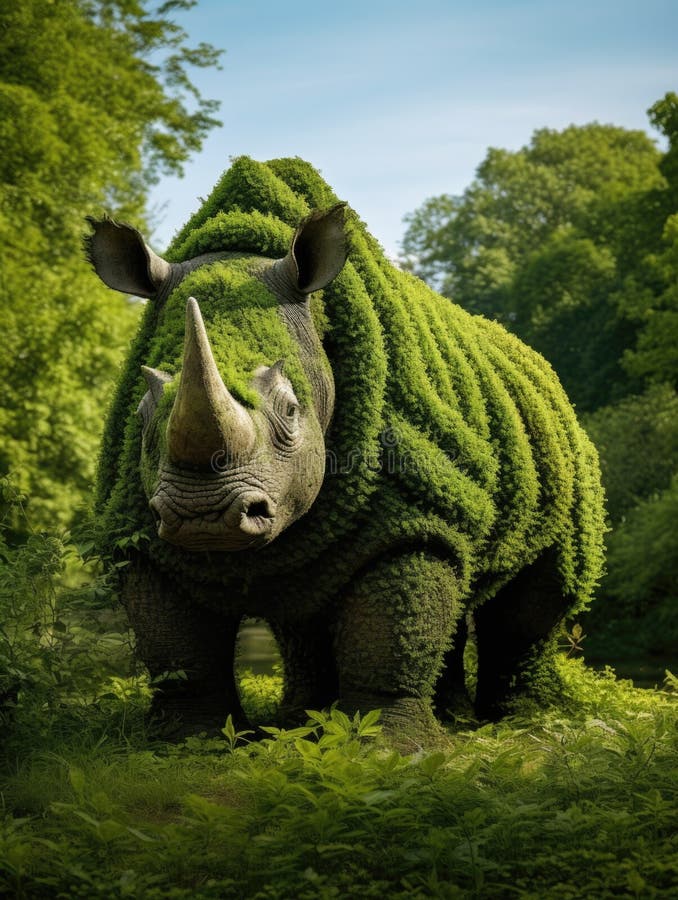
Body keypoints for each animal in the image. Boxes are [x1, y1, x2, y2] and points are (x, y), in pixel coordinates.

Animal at [86, 157, 605, 739]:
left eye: (292, 411)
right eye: (140, 416)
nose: (205, 518)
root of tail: (541, 368)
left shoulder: (416, 509)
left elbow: (395, 631)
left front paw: (389, 746)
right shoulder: (136, 528)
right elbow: (176, 650)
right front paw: (189, 742)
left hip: (569, 457)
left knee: (533, 599)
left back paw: (517, 723)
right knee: (321, 604)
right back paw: (311, 720)